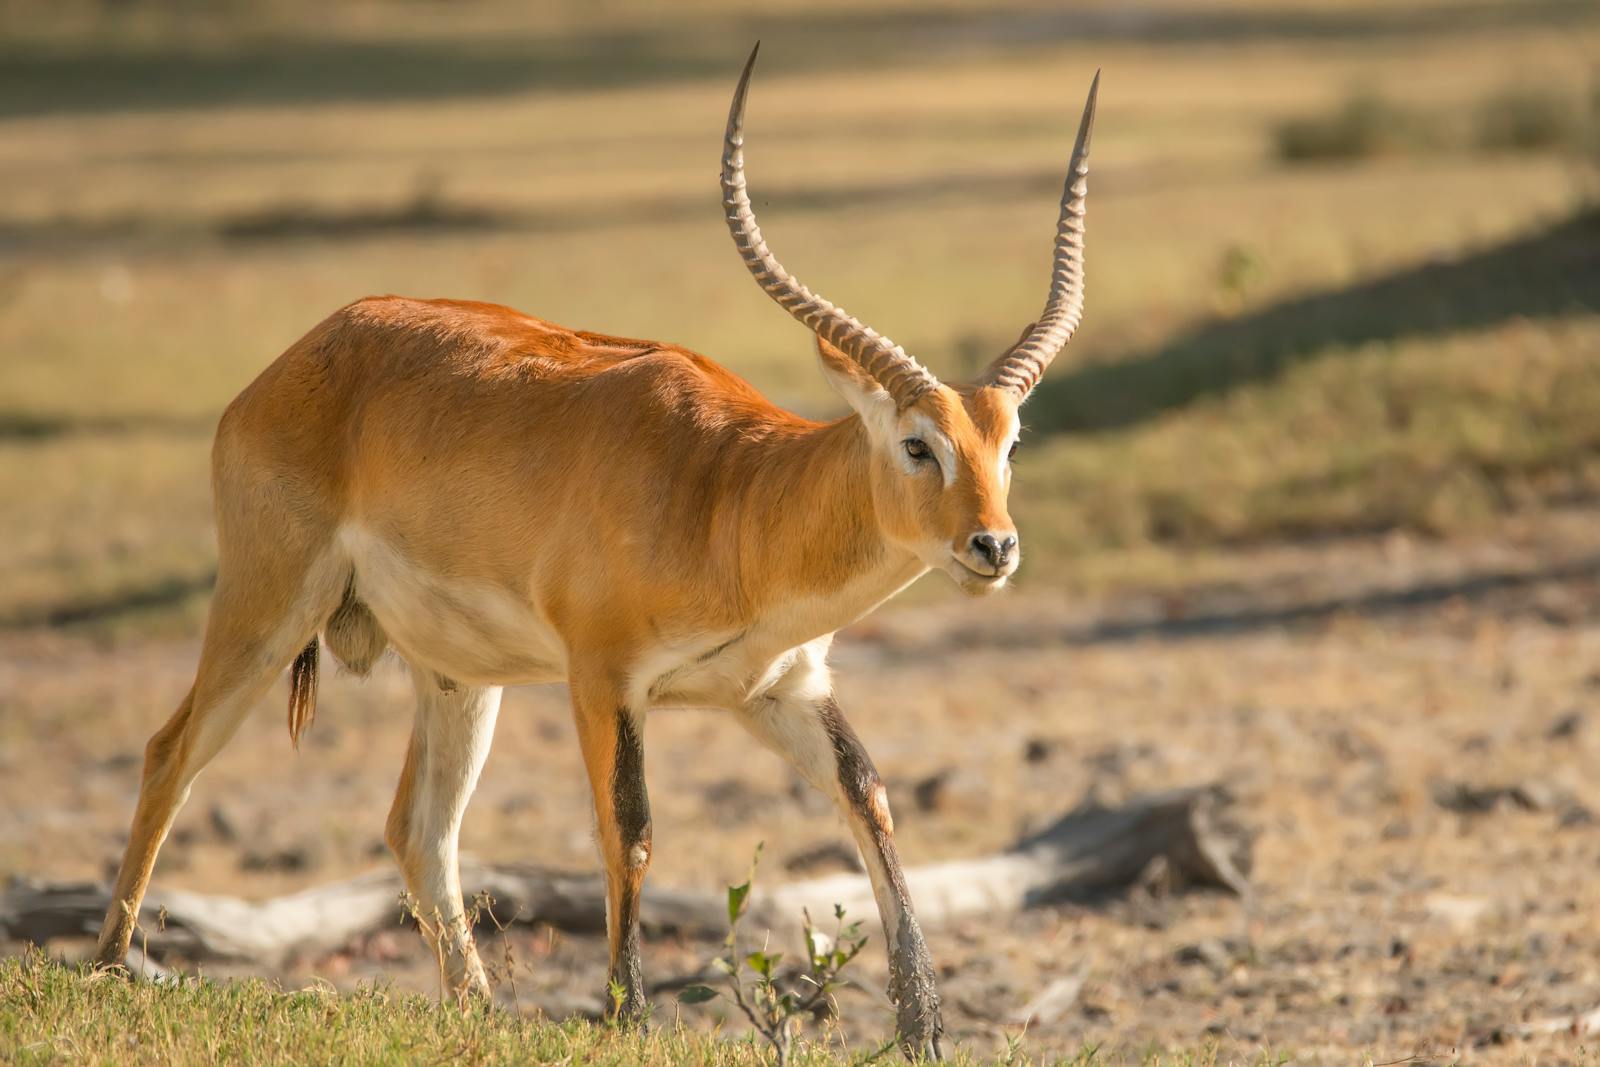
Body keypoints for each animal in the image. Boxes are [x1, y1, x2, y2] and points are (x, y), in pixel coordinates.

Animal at [94, 45, 1097, 1057]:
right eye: (918, 445)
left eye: (1008, 443)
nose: (993, 545)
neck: (729, 497)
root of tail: (297, 356)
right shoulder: (603, 677)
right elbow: (632, 827)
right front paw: (628, 1017)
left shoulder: (781, 689)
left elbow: (872, 795)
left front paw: (925, 1028)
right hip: (266, 607)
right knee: (169, 752)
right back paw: (108, 969)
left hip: (460, 677)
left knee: (418, 826)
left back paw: (479, 1008)